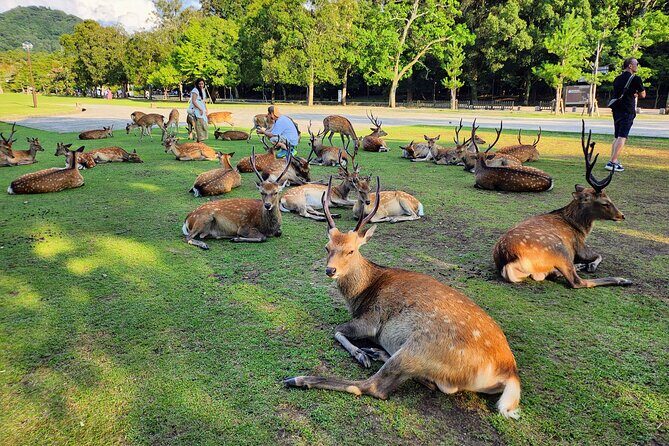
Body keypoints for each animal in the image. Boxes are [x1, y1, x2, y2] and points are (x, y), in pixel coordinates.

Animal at [284, 177, 521, 419]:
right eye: (327, 247)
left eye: (351, 250)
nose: (330, 270)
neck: (362, 293)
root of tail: (510, 373)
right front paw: (365, 351)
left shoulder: (371, 320)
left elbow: (337, 330)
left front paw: (360, 354)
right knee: (436, 385)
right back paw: (378, 352)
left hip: (417, 349)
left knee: (374, 387)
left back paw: (300, 378)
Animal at [493, 121, 631, 289]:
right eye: (605, 203)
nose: (622, 215)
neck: (580, 228)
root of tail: (508, 262)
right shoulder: (580, 246)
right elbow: (599, 255)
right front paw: (591, 265)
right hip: (559, 250)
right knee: (576, 281)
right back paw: (621, 279)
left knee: (550, 274)